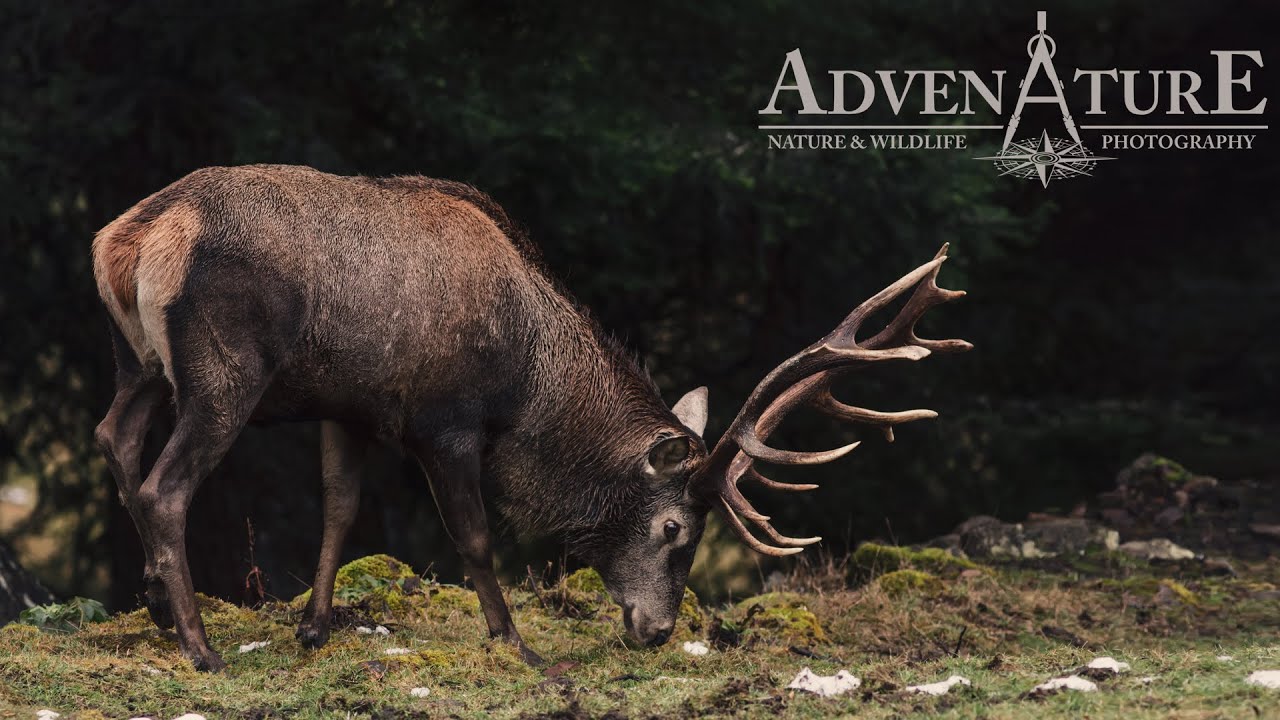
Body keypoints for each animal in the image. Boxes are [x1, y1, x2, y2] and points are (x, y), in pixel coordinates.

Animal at [91, 164, 970, 671]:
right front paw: (518, 644)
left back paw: (159, 604)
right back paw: (201, 647)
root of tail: (126, 239)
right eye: (676, 530)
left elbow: (340, 511)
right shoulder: (443, 419)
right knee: (166, 485)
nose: (655, 630)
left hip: (141, 363)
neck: (526, 377)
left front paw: (314, 630)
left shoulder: (349, 405)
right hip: (223, 372)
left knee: (113, 438)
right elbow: (476, 536)